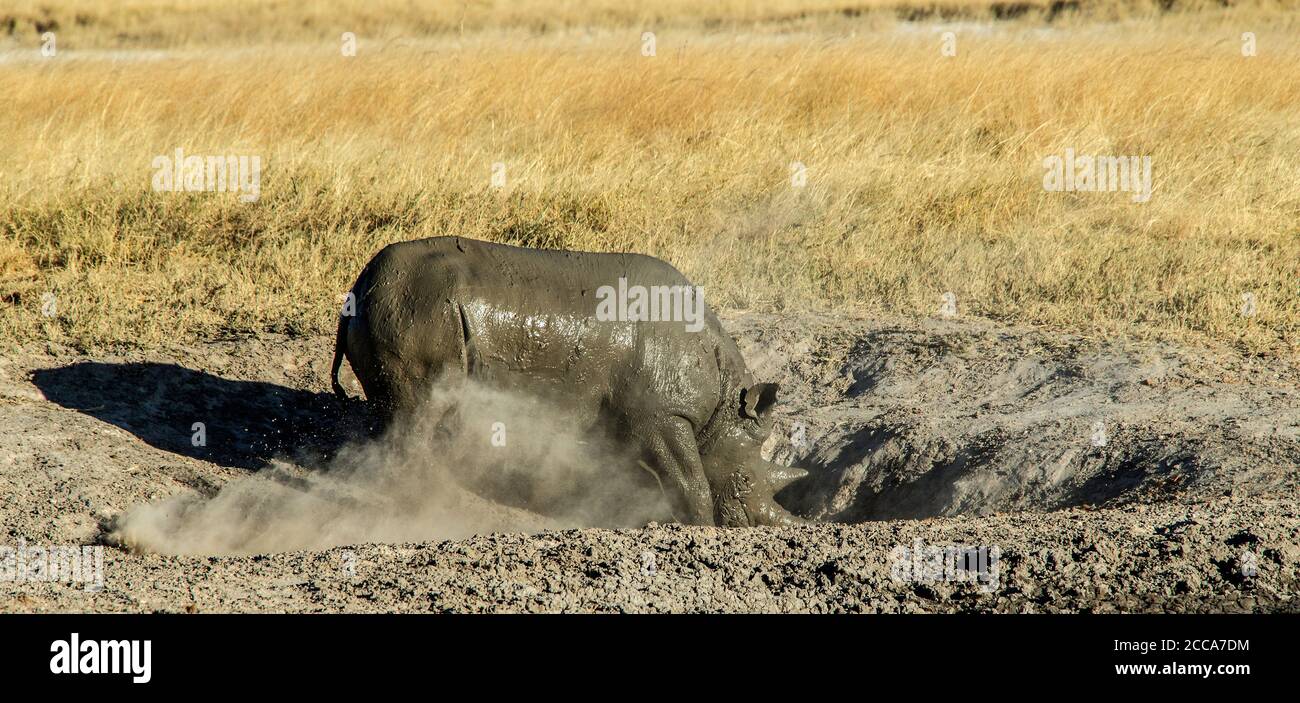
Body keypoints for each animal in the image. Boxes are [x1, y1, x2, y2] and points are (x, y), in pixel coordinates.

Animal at [329, 236, 806, 527]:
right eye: (744, 482)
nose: (747, 525)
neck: (725, 399)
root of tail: (362, 282)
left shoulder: (627, 418)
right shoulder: (660, 415)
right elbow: (692, 480)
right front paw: (701, 529)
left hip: (396, 308)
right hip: (417, 310)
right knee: (418, 414)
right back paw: (421, 511)